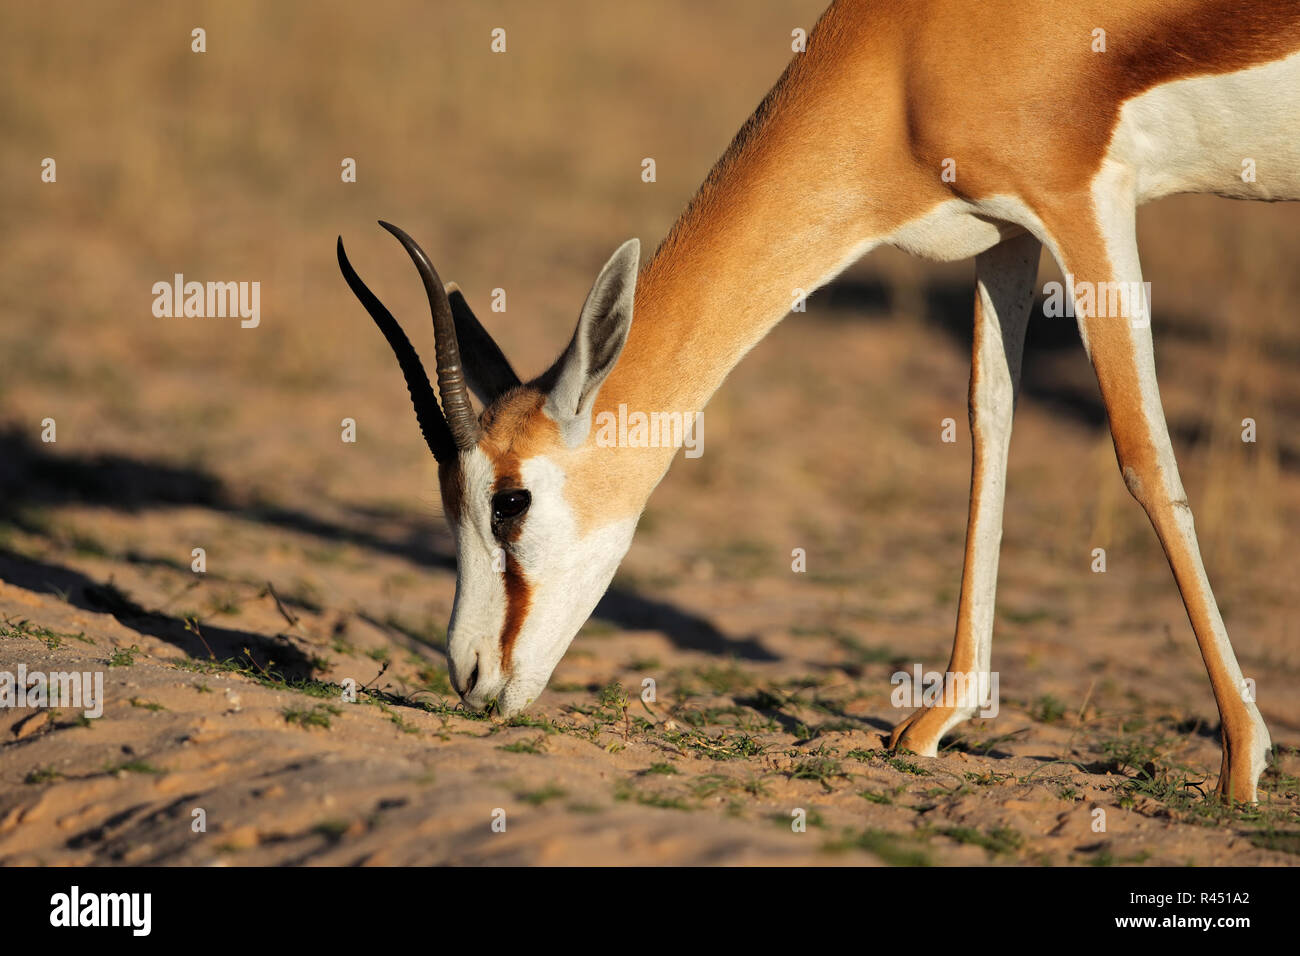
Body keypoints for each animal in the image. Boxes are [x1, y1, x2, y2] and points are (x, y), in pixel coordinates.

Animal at [338, 0, 1300, 802]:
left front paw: (1241, 765)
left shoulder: (1082, 203)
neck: (908, 52)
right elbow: (989, 427)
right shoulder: (1007, 232)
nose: (468, 677)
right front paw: (934, 723)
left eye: (510, 502)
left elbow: (1142, 456)